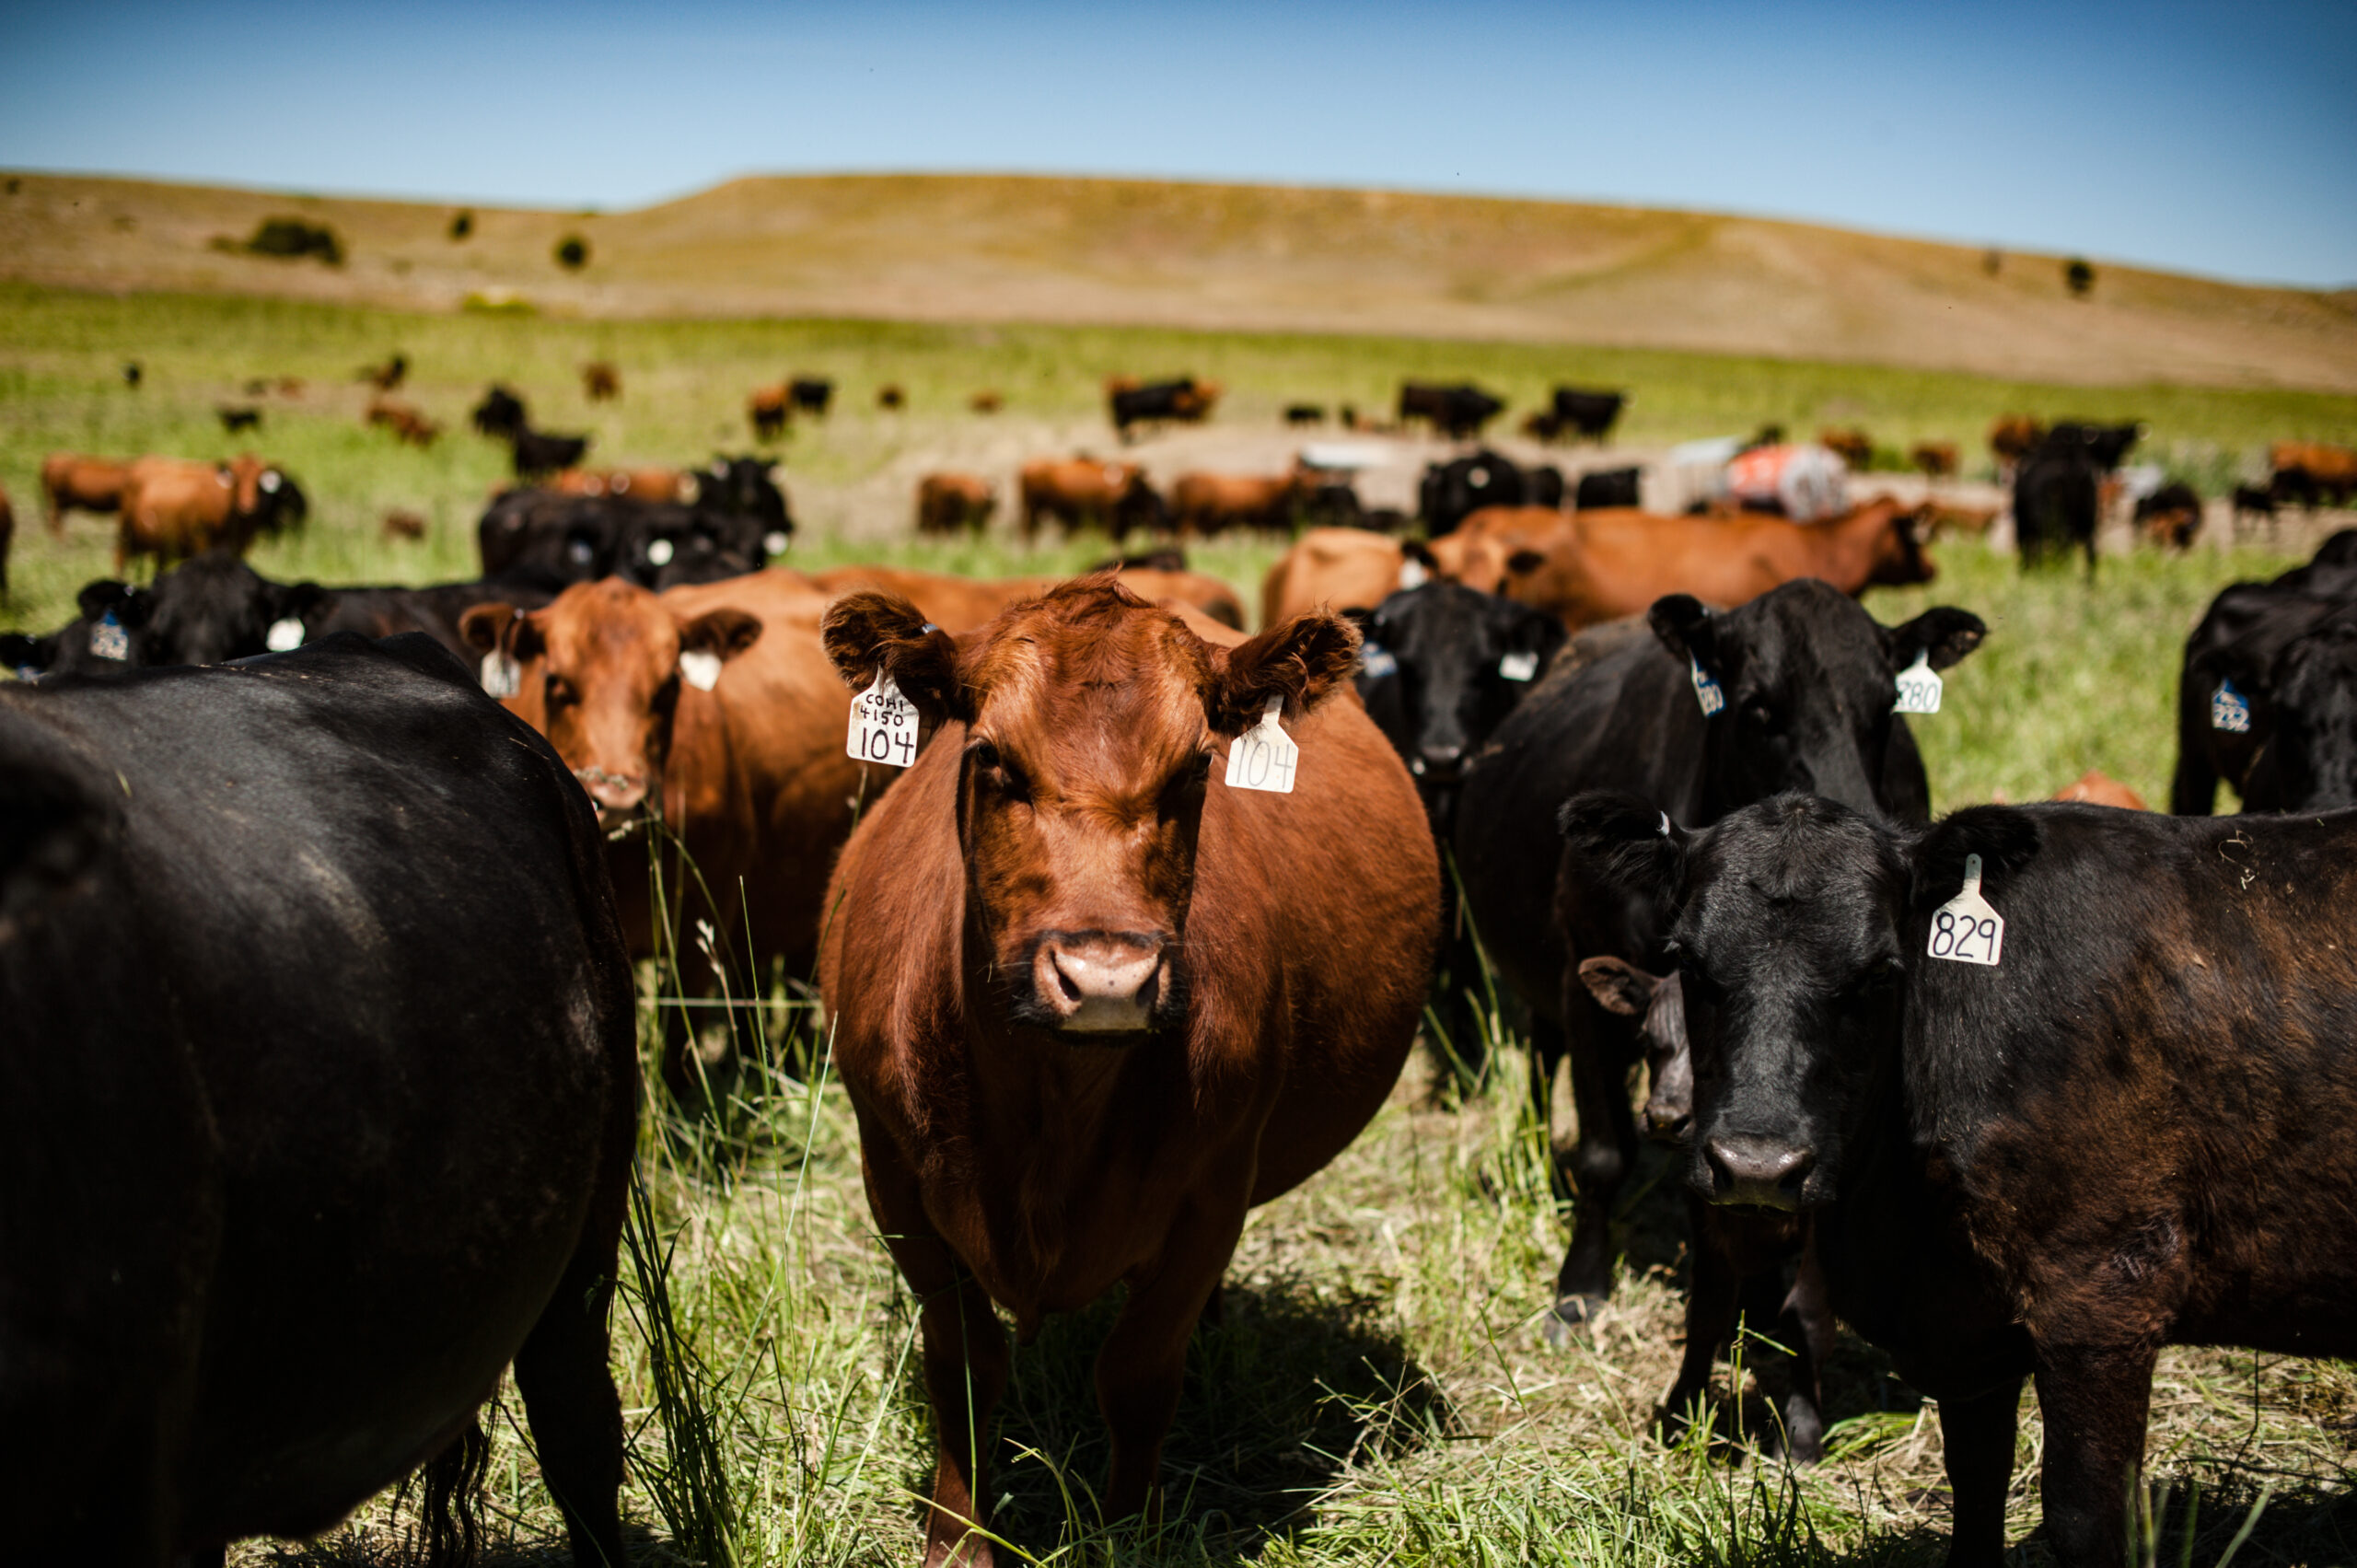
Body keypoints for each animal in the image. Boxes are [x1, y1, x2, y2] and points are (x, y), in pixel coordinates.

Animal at [116, 456, 307, 573]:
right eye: (237, 481)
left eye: (258, 483)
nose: (247, 506)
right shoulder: (201, 542)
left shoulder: (239, 549)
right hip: (126, 536)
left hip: (160, 547)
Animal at [815, 576, 1438, 1567]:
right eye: (990, 756)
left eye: (1194, 768)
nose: (1106, 976)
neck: (1053, 1113)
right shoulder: (894, 1180)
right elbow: (963, 1366)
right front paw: (958, 1536)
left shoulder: (1211, 1192)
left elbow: (1138, 1371)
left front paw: (1127, 1534)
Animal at [1017, 457, 1164, 540]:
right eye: (1114, 482)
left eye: (1131, 479)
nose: (1117, 498)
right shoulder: (1111, 519)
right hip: (1031, 509)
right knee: (1028, 530)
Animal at [1454, 580, 1985, 1331]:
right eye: (1758, 706)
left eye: (1887, 707)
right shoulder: (1584, 976)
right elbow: (1604, 1152)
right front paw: (1580, 1288)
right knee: (1541, 1058)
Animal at [1575, 958, 1834, 1462]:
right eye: (1647, 1042)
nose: (1663, 1119)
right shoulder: (1705, 1205)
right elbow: (1707, 1309)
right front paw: (1681, 1411)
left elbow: (1807, 1314)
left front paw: (1801, 1434)